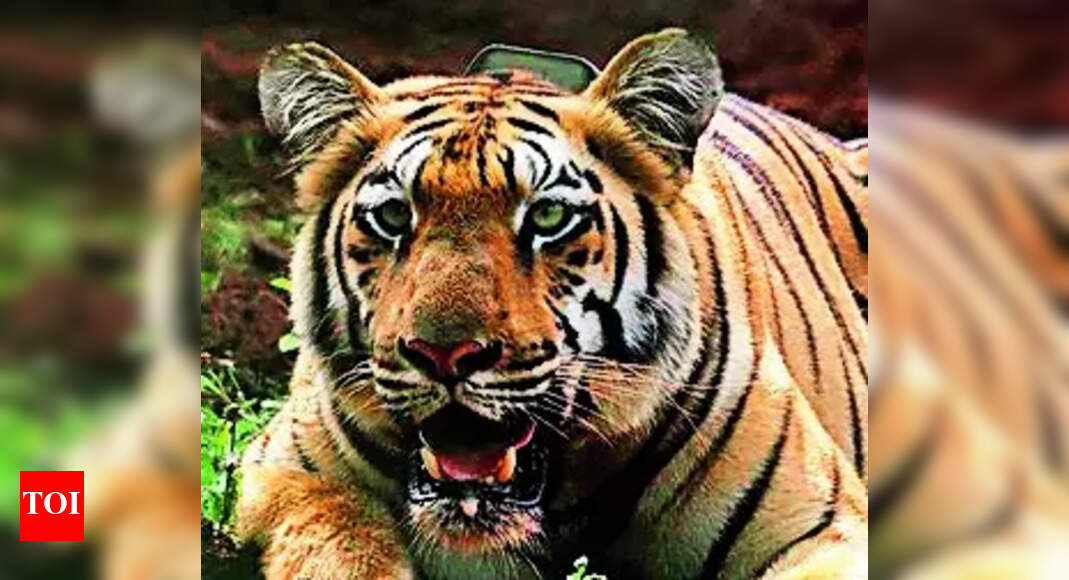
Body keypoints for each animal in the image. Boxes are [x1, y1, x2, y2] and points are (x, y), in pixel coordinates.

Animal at [236, 28, 869, 579]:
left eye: (547, 217)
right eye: (393, 217)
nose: (443, 356)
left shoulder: (822, 526)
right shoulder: (286, 473)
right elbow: (333, 548)